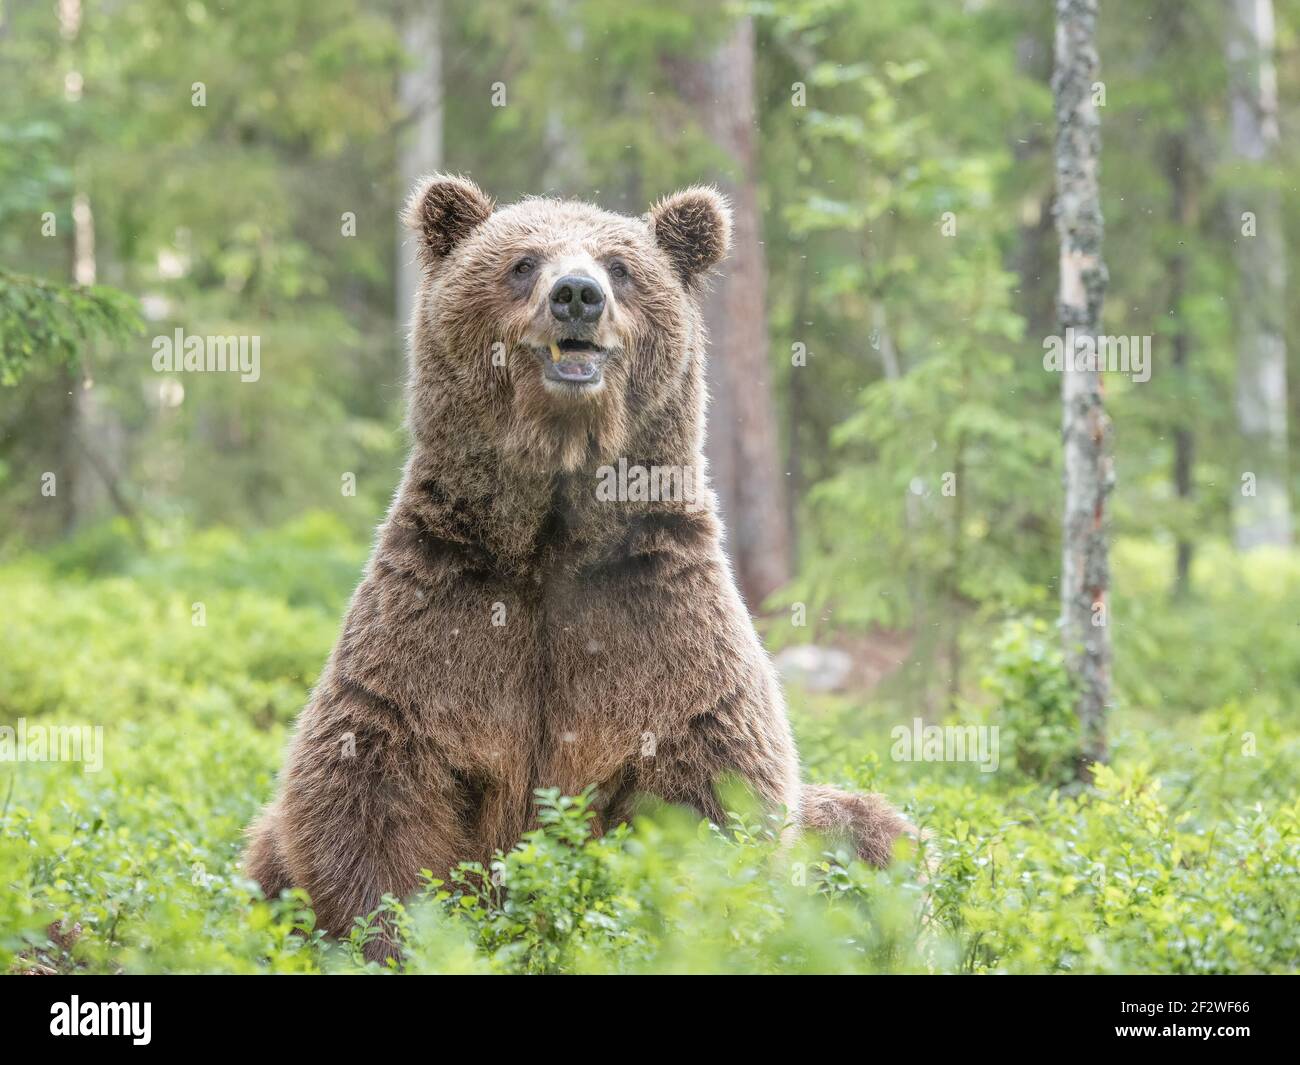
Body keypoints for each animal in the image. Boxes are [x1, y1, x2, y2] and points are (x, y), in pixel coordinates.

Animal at [243, 175, 910, 961]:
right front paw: (398, 937)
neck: (551, 533)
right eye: (523, 261)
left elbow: (708, 784)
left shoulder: (654, 615)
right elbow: (371, 783)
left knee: (877, 834)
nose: (577, 295)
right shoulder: (443, 605)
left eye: (620, 267)